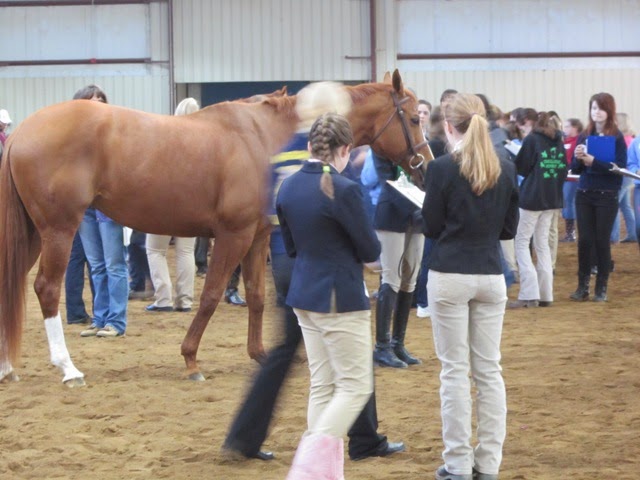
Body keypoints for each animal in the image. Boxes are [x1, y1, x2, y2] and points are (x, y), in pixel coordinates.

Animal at [0, 69, 431, 386]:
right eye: (413, 118)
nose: (425, 166)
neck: (265, 138)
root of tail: (20, 132)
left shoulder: (257, 236)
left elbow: (256, 295)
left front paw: (259, 354)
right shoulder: (232, 235)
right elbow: (209, 295)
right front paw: (191, 360)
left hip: (34, 234)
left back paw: (7, 367)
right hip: (58, 229)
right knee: (46, 289)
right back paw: (67, 367)